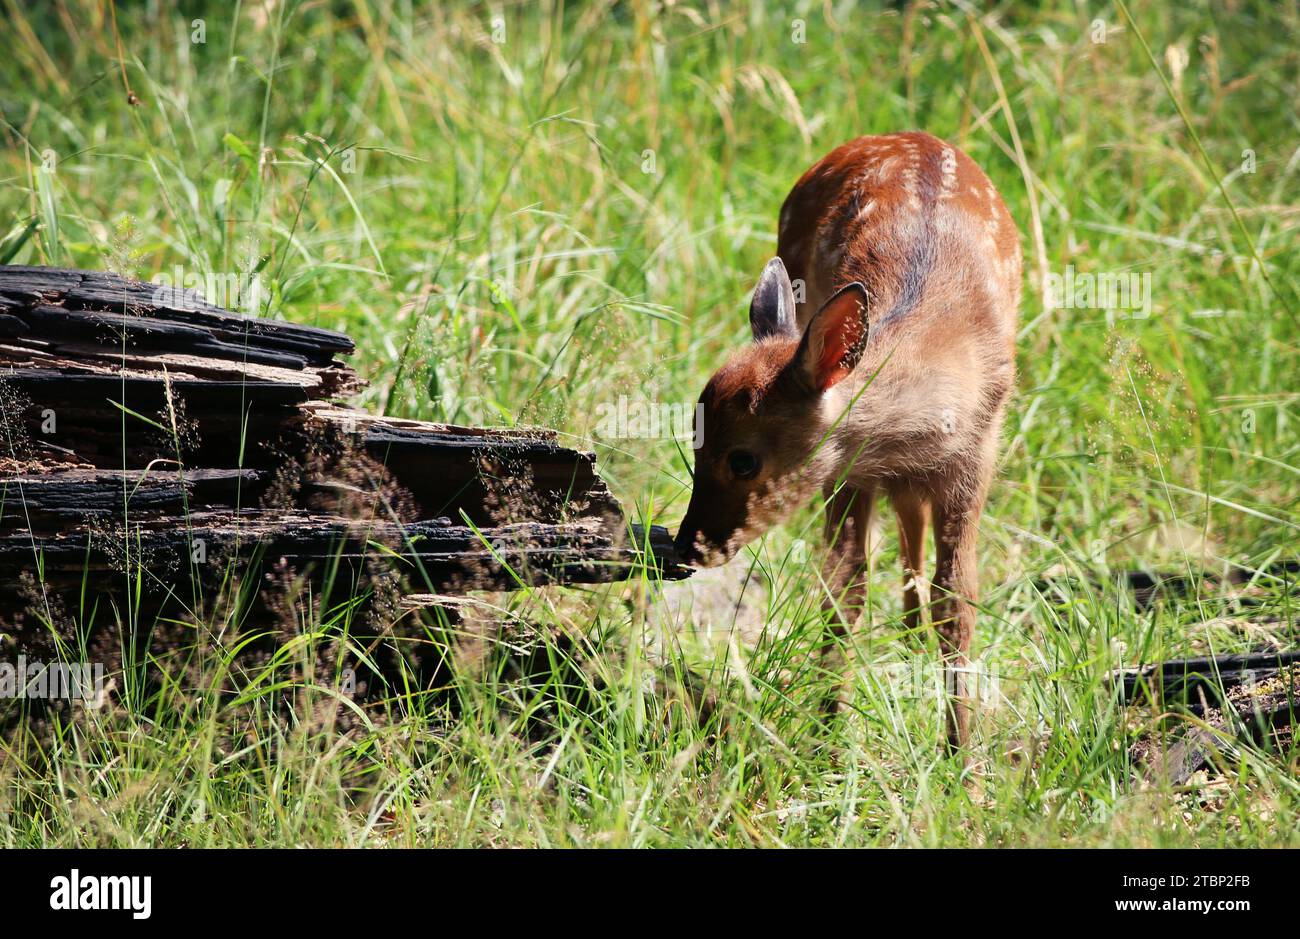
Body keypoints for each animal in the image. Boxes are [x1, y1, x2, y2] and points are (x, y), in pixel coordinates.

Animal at [673, 131, 1021, 752]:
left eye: (743, 459)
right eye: (693, 442)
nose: (685, 549)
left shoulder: (977, 453)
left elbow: (957, 598)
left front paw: (961, 755)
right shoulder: (845, 470)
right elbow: (844, 588)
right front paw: (827, 735)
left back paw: (911, 631)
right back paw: (906, 629)